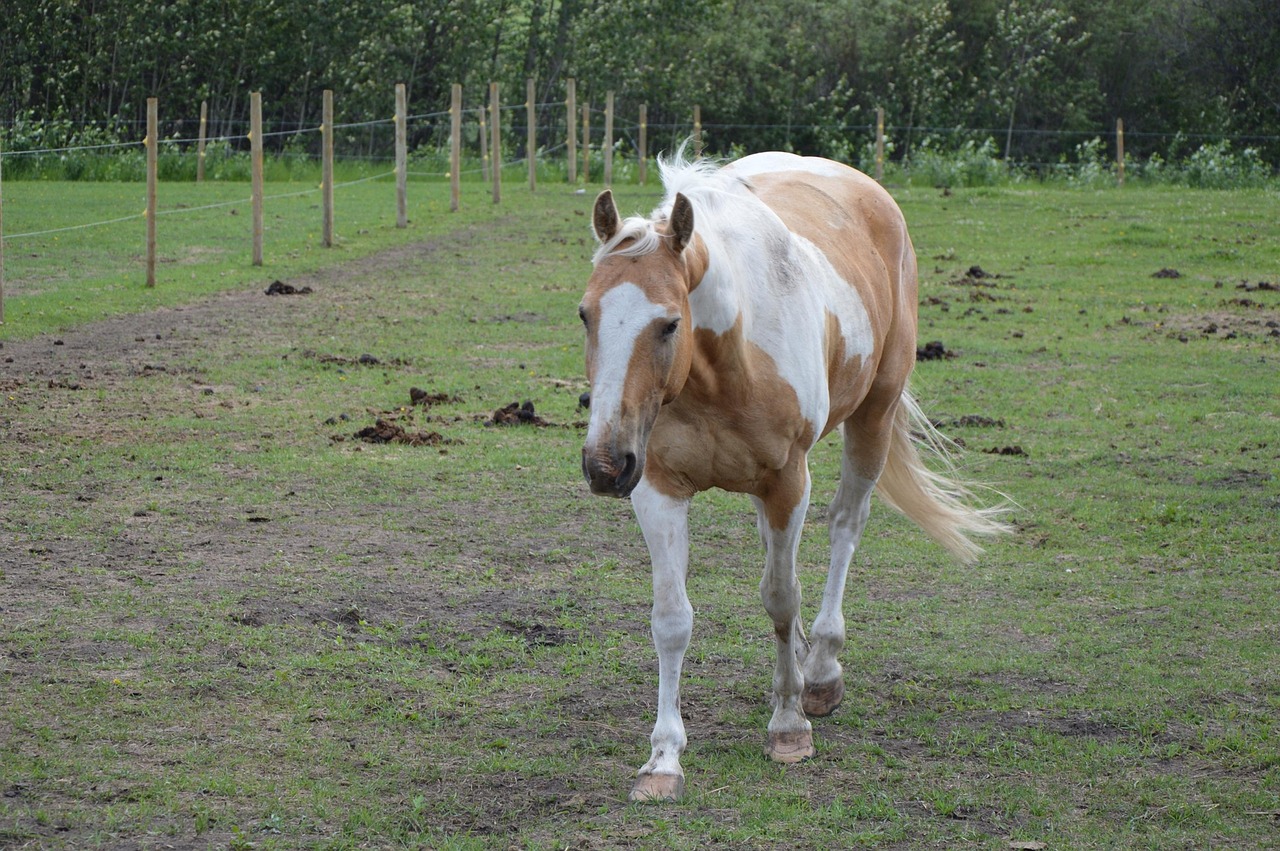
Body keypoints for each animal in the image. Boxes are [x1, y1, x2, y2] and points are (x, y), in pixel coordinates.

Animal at [577, 149, 1009, 802]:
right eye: (585, 315)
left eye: (670, 324)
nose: (605, 464)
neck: (723, 368)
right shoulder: (658, 489)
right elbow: (672, 619)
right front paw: (663, 759)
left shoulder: (787, 480)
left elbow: (780, 598)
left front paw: (788, 725)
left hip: (873, 417)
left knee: (844, 527)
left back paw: (822, 671)